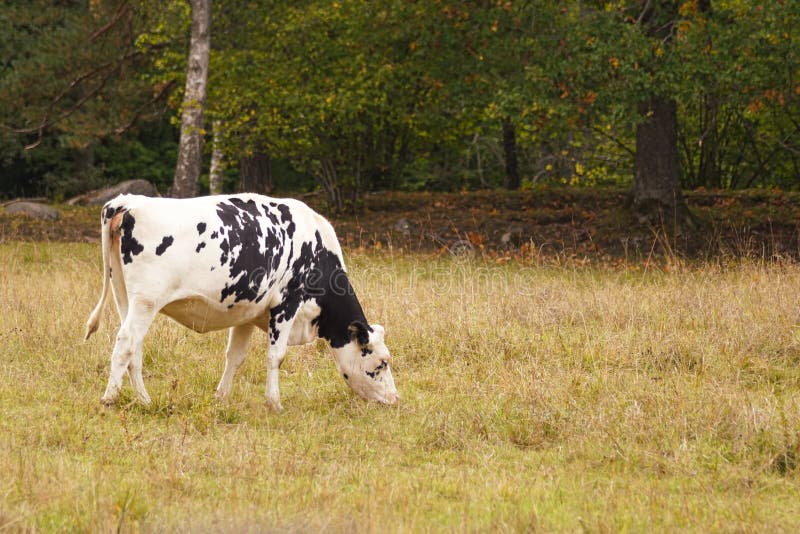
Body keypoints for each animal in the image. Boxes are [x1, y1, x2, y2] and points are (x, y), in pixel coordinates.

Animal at [84, 194, 399, 411]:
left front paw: (221, 397)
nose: (395, 398)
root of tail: (128, 201)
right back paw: (110, 399)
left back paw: (144, 400)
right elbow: (276, 356)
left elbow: (235, 356)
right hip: (146, 301)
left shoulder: (248, 311)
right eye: (382, 362)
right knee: (125, 342)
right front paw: (274, 403)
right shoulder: (287, 303)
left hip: (125, 296)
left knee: (134, 348)